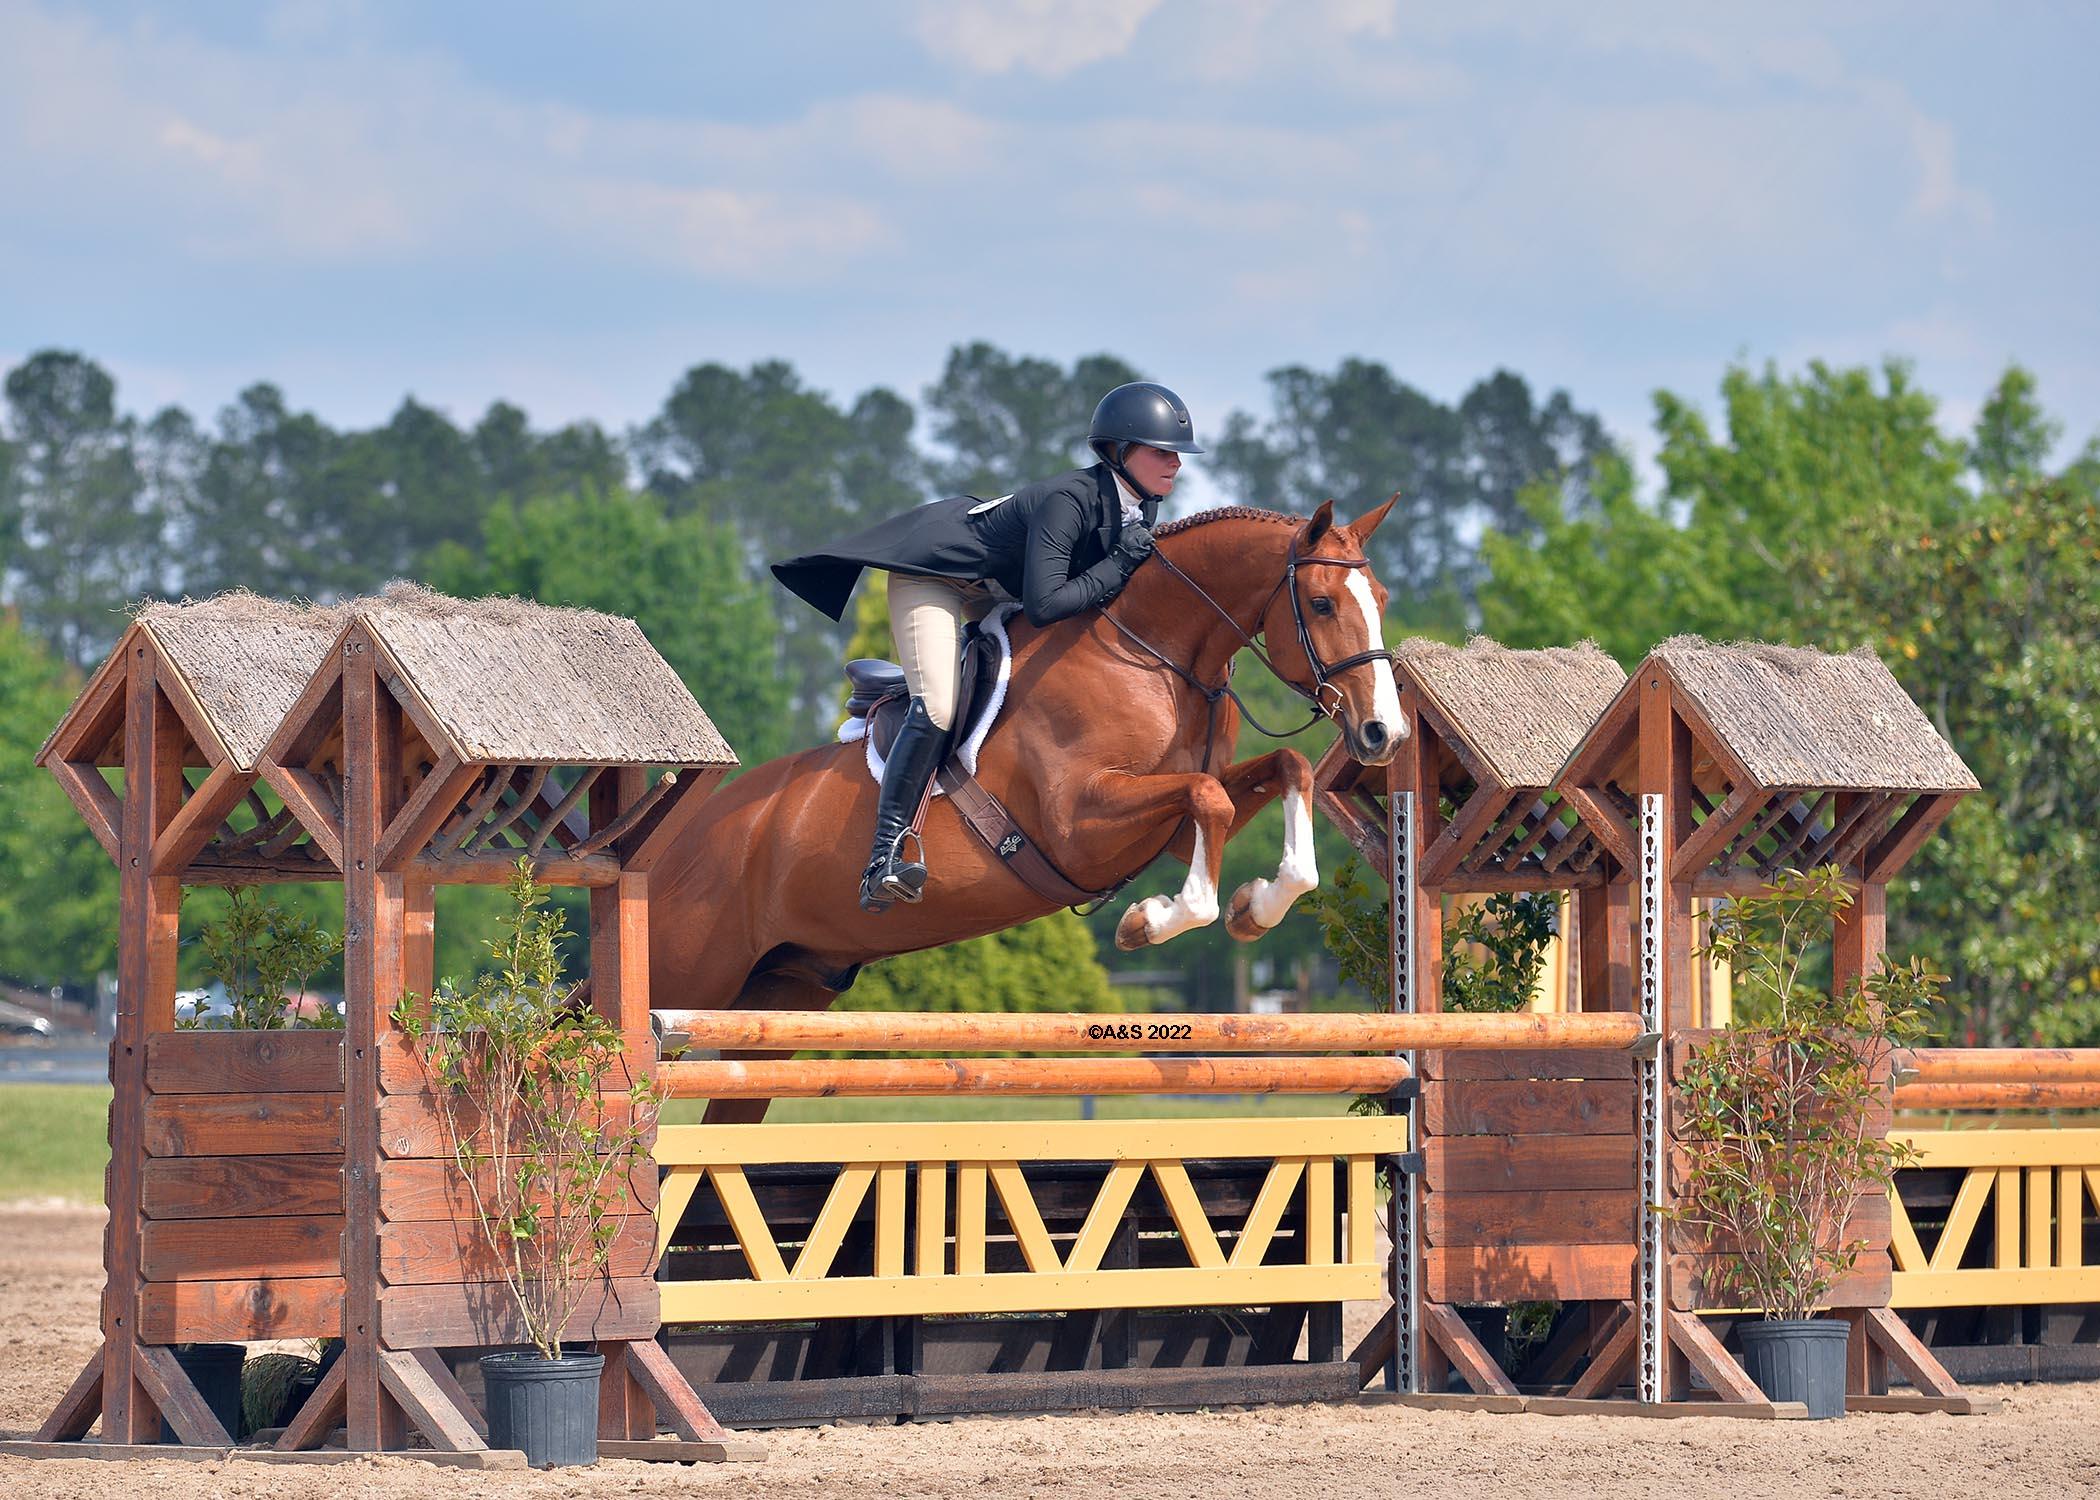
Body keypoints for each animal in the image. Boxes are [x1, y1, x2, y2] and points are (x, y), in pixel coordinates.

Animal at [648, 499, 1406, 1118]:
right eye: (1321, 604)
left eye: (1383, 597)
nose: (1384, 734)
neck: (1150, 651)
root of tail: (674, 842)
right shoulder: (1078, 825)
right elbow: (1209, 799)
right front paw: (1152, 920)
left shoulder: (1162, 828)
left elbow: (1283, 769)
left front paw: (1257, 905)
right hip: (691, 973)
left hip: (785, 994)